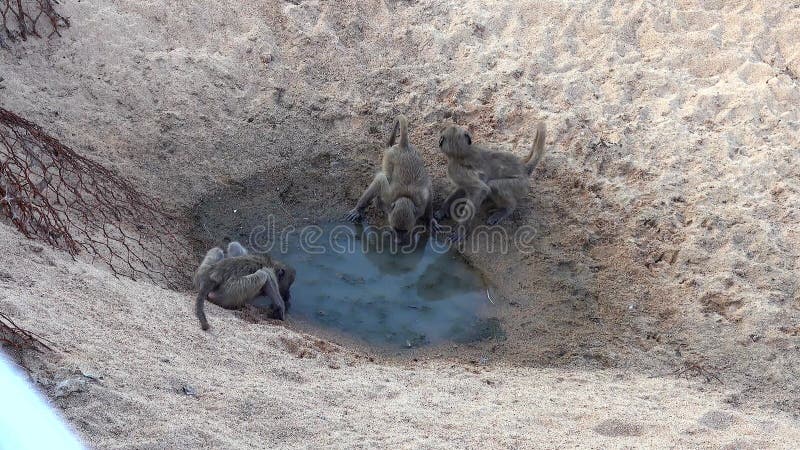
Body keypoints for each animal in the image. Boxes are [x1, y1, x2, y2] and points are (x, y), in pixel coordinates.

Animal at [345, 115, 433, 244]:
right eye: (396, 229)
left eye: (404, 231)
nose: (398, 242)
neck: (405, 197)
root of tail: (403, 146)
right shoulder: (388, 197)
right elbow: (380, 180)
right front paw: (359, 209)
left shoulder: (422, 202)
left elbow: (429, 192)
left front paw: (430, 220)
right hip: (389, 157)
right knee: (386, 176)